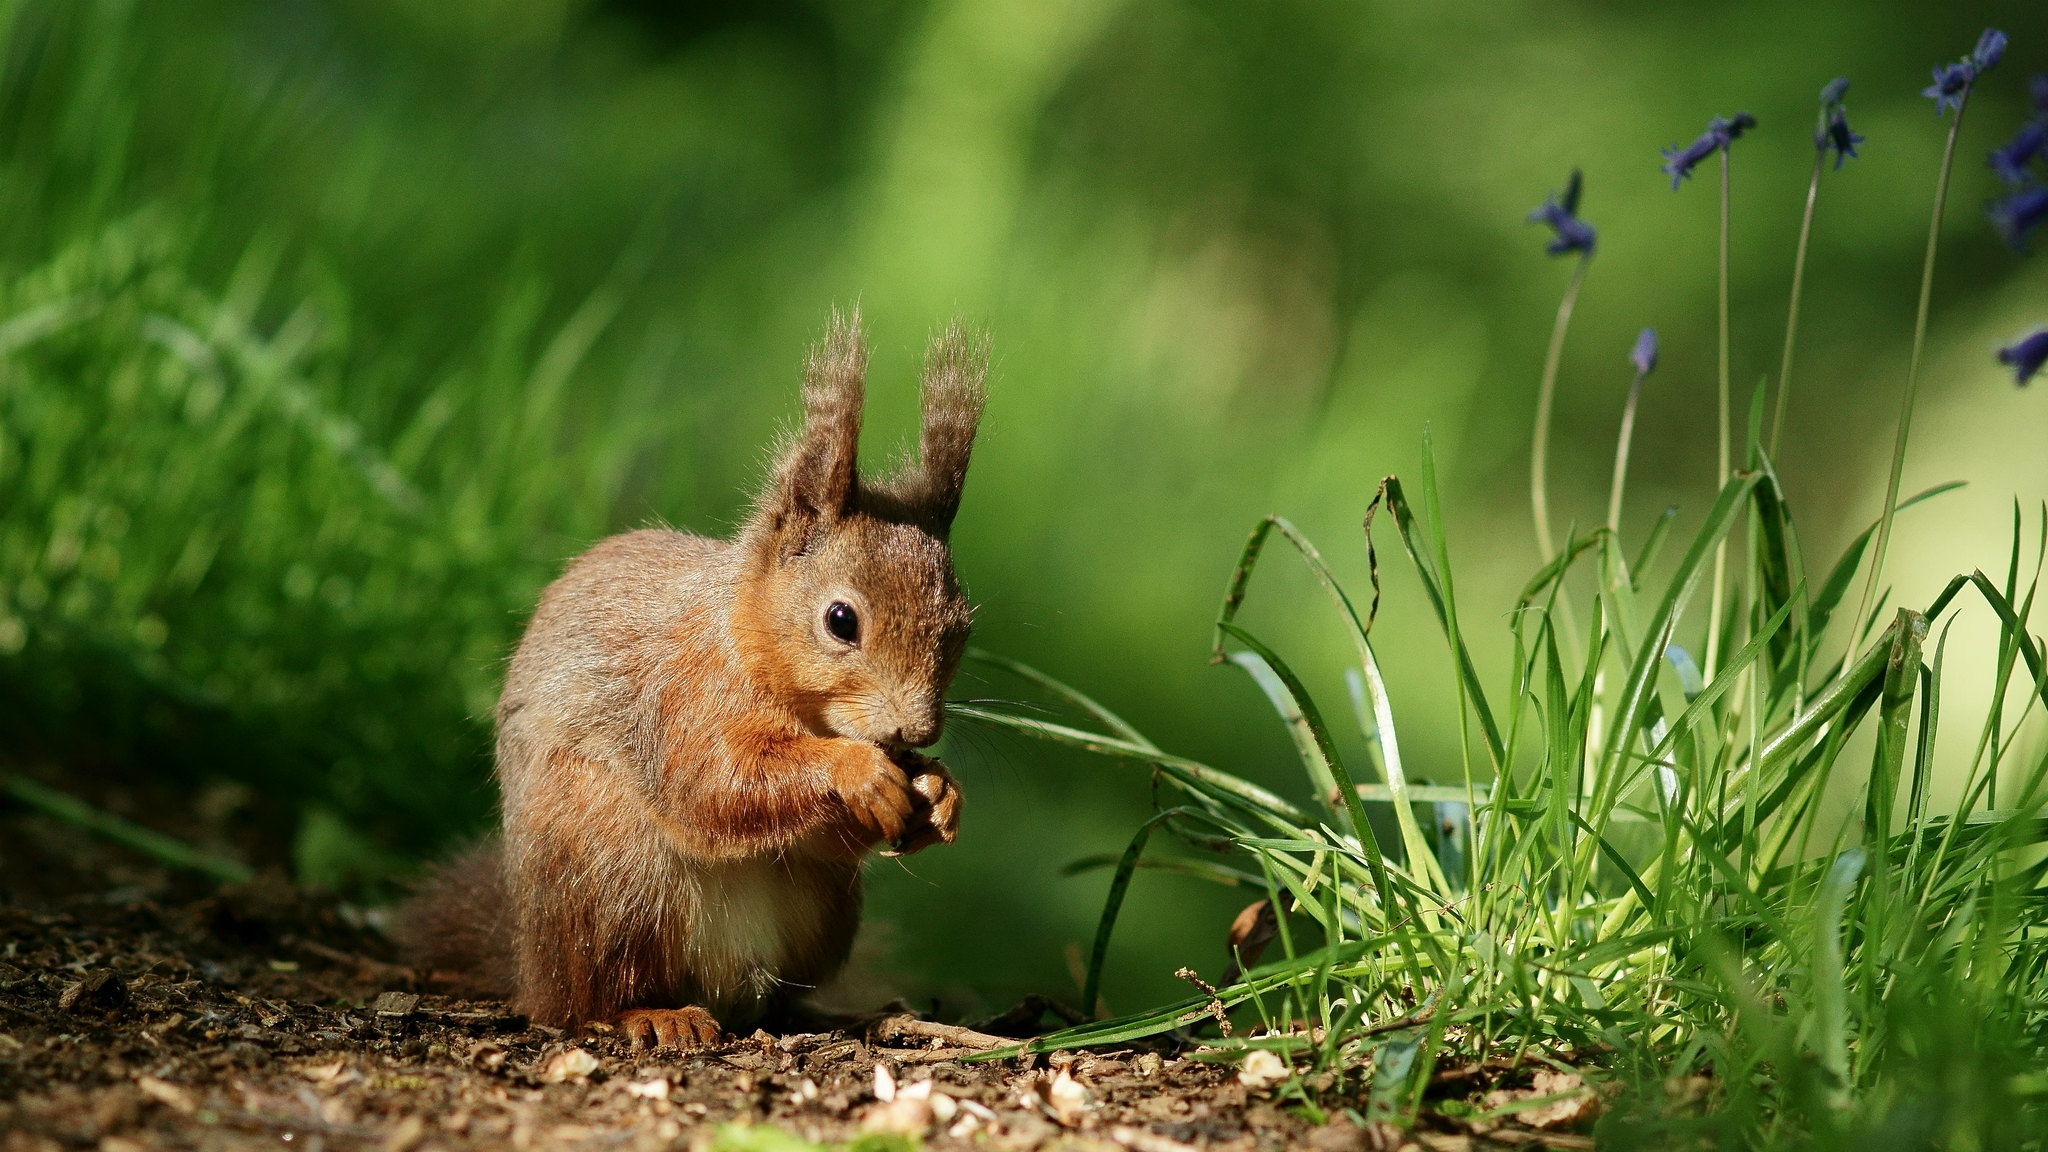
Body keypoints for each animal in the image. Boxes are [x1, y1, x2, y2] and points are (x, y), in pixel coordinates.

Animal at [395, 310, 986, 1048]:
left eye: (962, 625)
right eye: (841, 620)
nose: (918, 729)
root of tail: (530, 964)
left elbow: (815, 831)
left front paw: (939, 791)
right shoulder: (682, 695)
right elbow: (714, 781)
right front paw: (858, 771)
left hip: (821, 909)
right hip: (609, 870)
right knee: (585, 1000)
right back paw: (654, 1013)